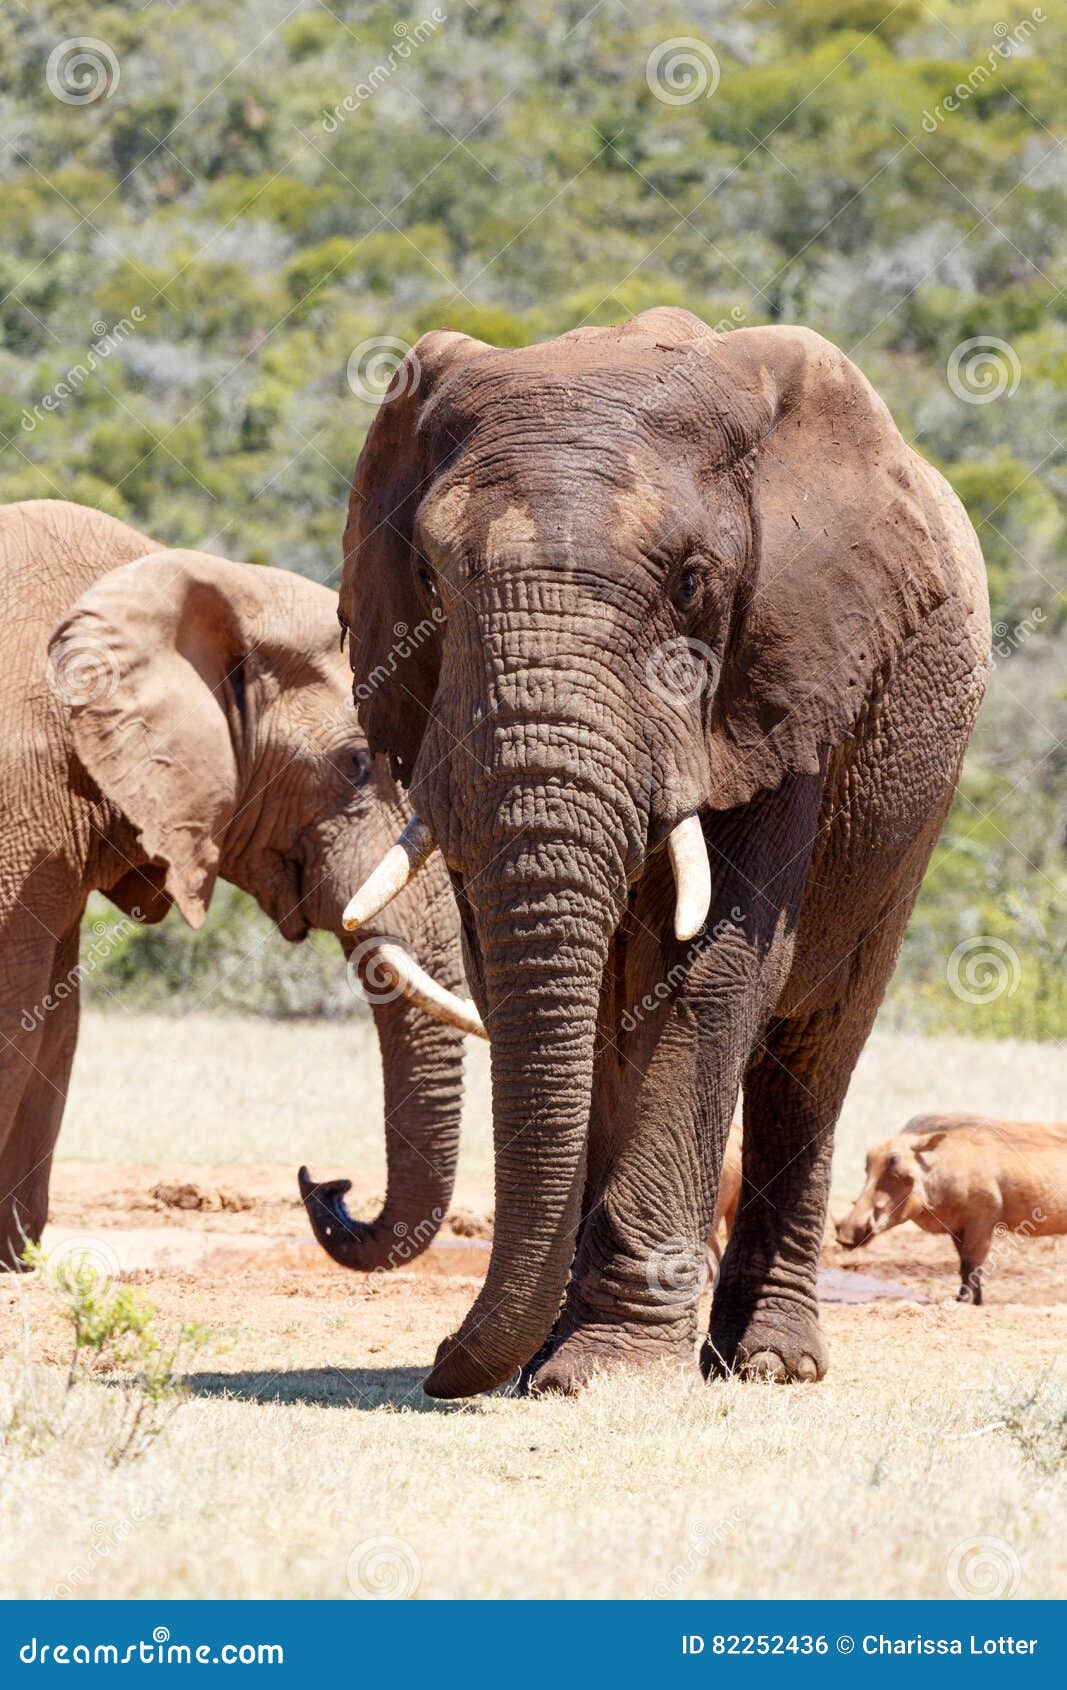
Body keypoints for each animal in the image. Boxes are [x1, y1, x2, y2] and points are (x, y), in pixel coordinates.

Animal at [0, 498, 482, 1275]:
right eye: (356, 765)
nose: (326, 1184)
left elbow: (55, 1022)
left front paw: (17, 1263)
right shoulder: (21, 791)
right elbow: (14, 1008)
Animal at [338, 310, 991, 1401]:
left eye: (691, 584)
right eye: (428, 578)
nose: (438, 1365)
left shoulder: (787, 676)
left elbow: (707, 969)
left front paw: (599, 1371)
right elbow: (547, 984)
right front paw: (556, 1361)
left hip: (910, 808)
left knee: (816, 1045)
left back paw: (767, 1366)